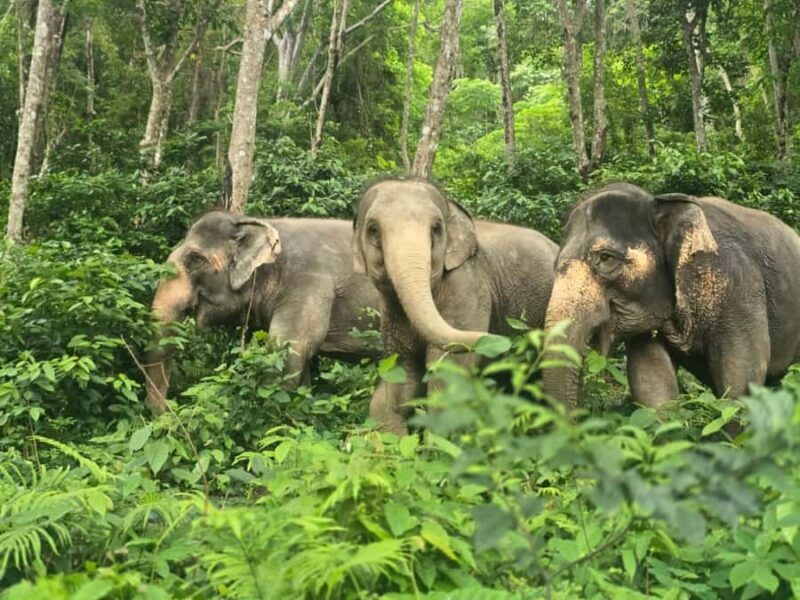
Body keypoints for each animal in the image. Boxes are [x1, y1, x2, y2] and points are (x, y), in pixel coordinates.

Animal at [352, 177, 559, 434]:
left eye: (436, 228)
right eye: (373, 229)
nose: (502, 340)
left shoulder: (468, 285)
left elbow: (448, 371)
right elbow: (401, 370)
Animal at [543, 182, 800, 408]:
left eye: (605, 258)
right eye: (554, 265)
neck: (659, 203)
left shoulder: (739, 285)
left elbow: (742, 377)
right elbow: (651, 381)